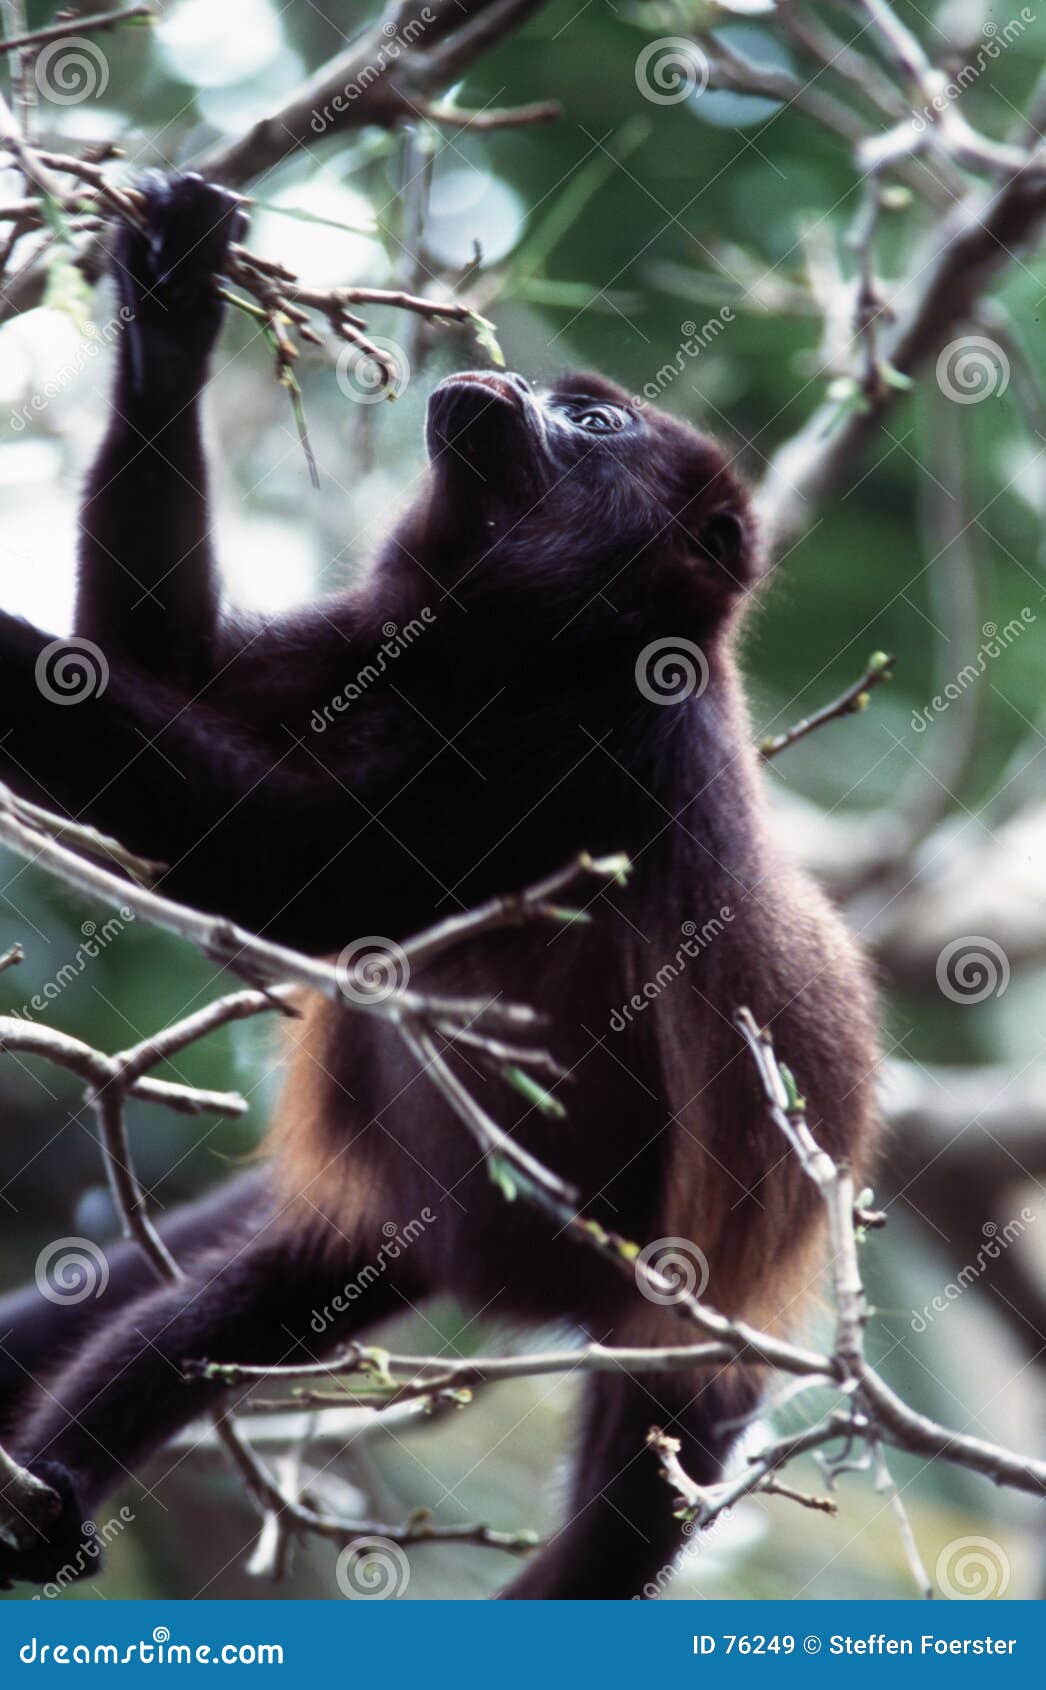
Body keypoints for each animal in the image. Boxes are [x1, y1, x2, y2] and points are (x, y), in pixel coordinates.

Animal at [0, 173, 880, 1598]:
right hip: (390, 1229)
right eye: (556, 394)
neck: (514, 660)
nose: (500, 381)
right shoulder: (377, 632)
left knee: (635, 1505)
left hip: (692, 1342)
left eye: (591, 421)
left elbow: (308, 879)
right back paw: (57, 1482)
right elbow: (155, 657)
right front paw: (171, 307)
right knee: (227, 1308)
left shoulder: (615, 743)